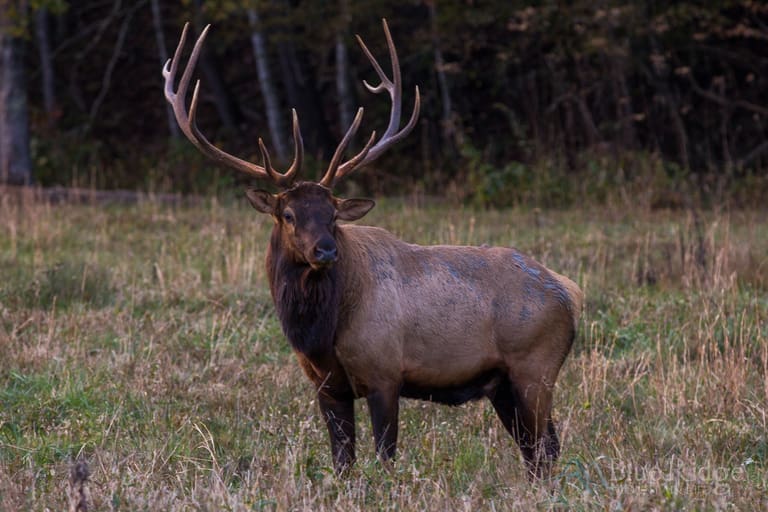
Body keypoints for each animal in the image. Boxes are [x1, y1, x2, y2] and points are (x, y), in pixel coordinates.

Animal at [163, 19, 583, 479]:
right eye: (288, 214)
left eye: (332, 214)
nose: (326, 251)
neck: (321, 330)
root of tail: (569, 292)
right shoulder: (327, 385)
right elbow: (342, 461)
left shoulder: (385, 372)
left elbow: (385, 456)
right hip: (503, 384)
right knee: (538, 450)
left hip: (535, 367)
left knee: (546, 447)